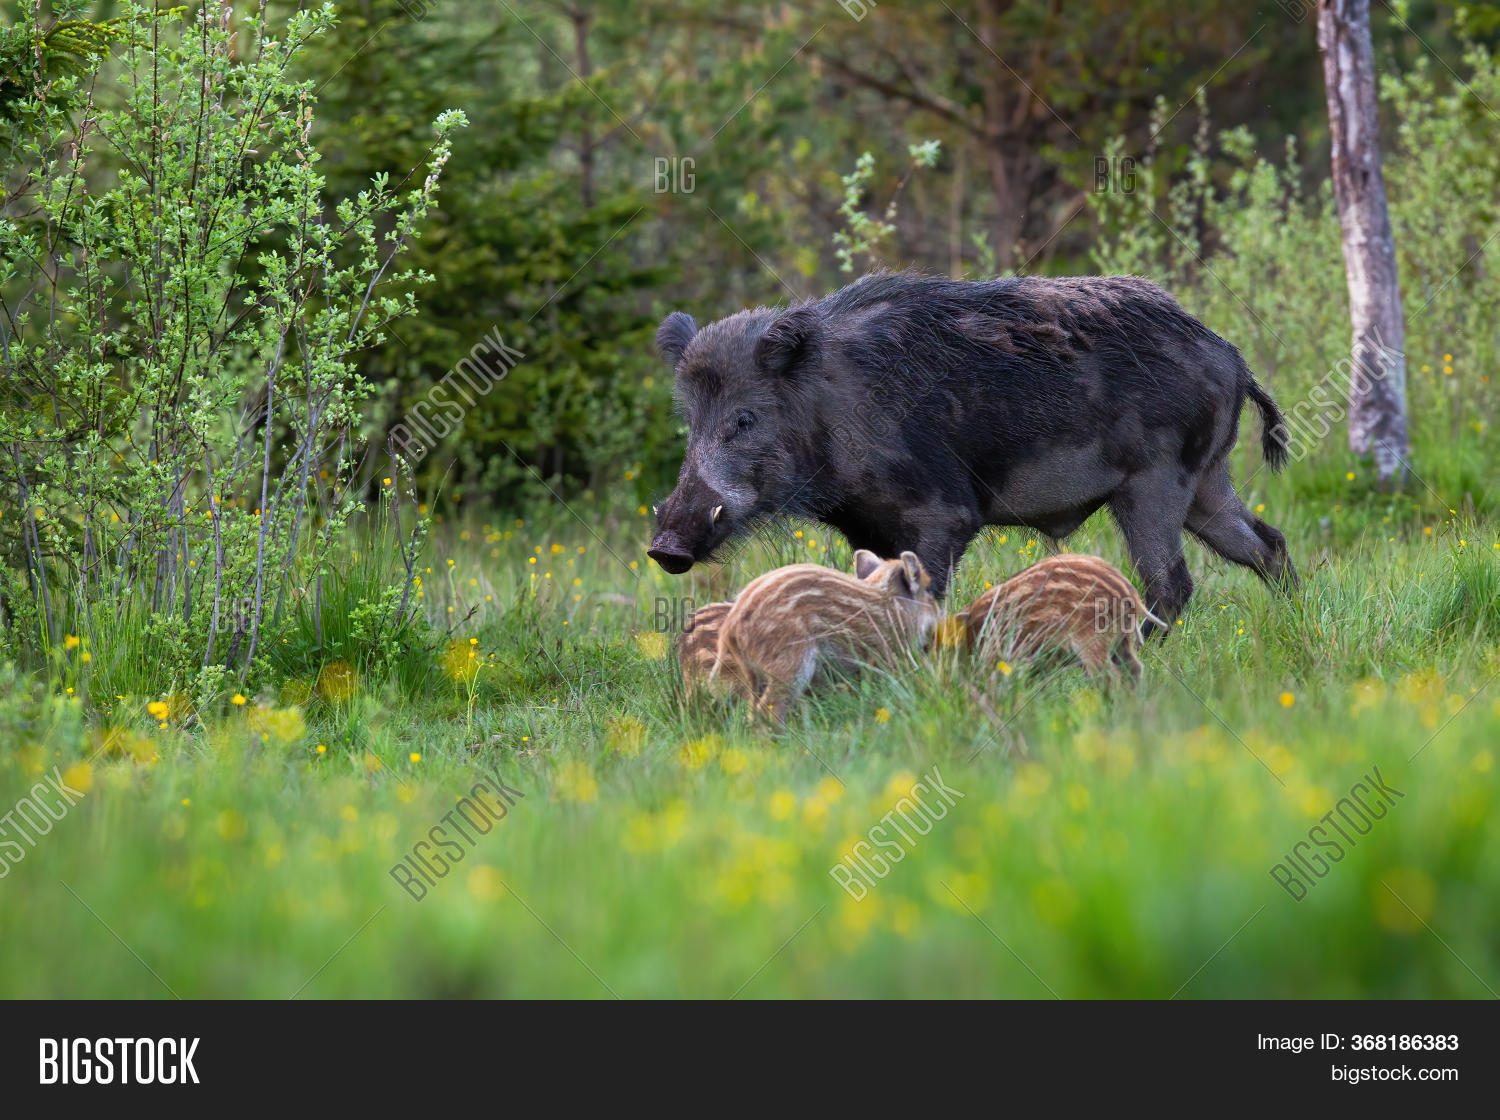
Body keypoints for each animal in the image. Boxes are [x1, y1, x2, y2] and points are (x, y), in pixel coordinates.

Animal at [648, 271, 1296, 627]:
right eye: (690, 421)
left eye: (744, 418)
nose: (664, 546)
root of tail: (1233, 359)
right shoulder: (865, 525)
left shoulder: (944, 512)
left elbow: (925, 587)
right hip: (1205, 478)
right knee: (1265, 542)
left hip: (1155, 480)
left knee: (1172, 583)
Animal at [713, 550, 939, 724]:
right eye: (927, 592)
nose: (940, 614)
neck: (896, 606)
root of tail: (729, 629)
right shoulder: (892, 654)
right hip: (790, 665)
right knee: (767, 711)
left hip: (754, 674)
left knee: (752, 713)